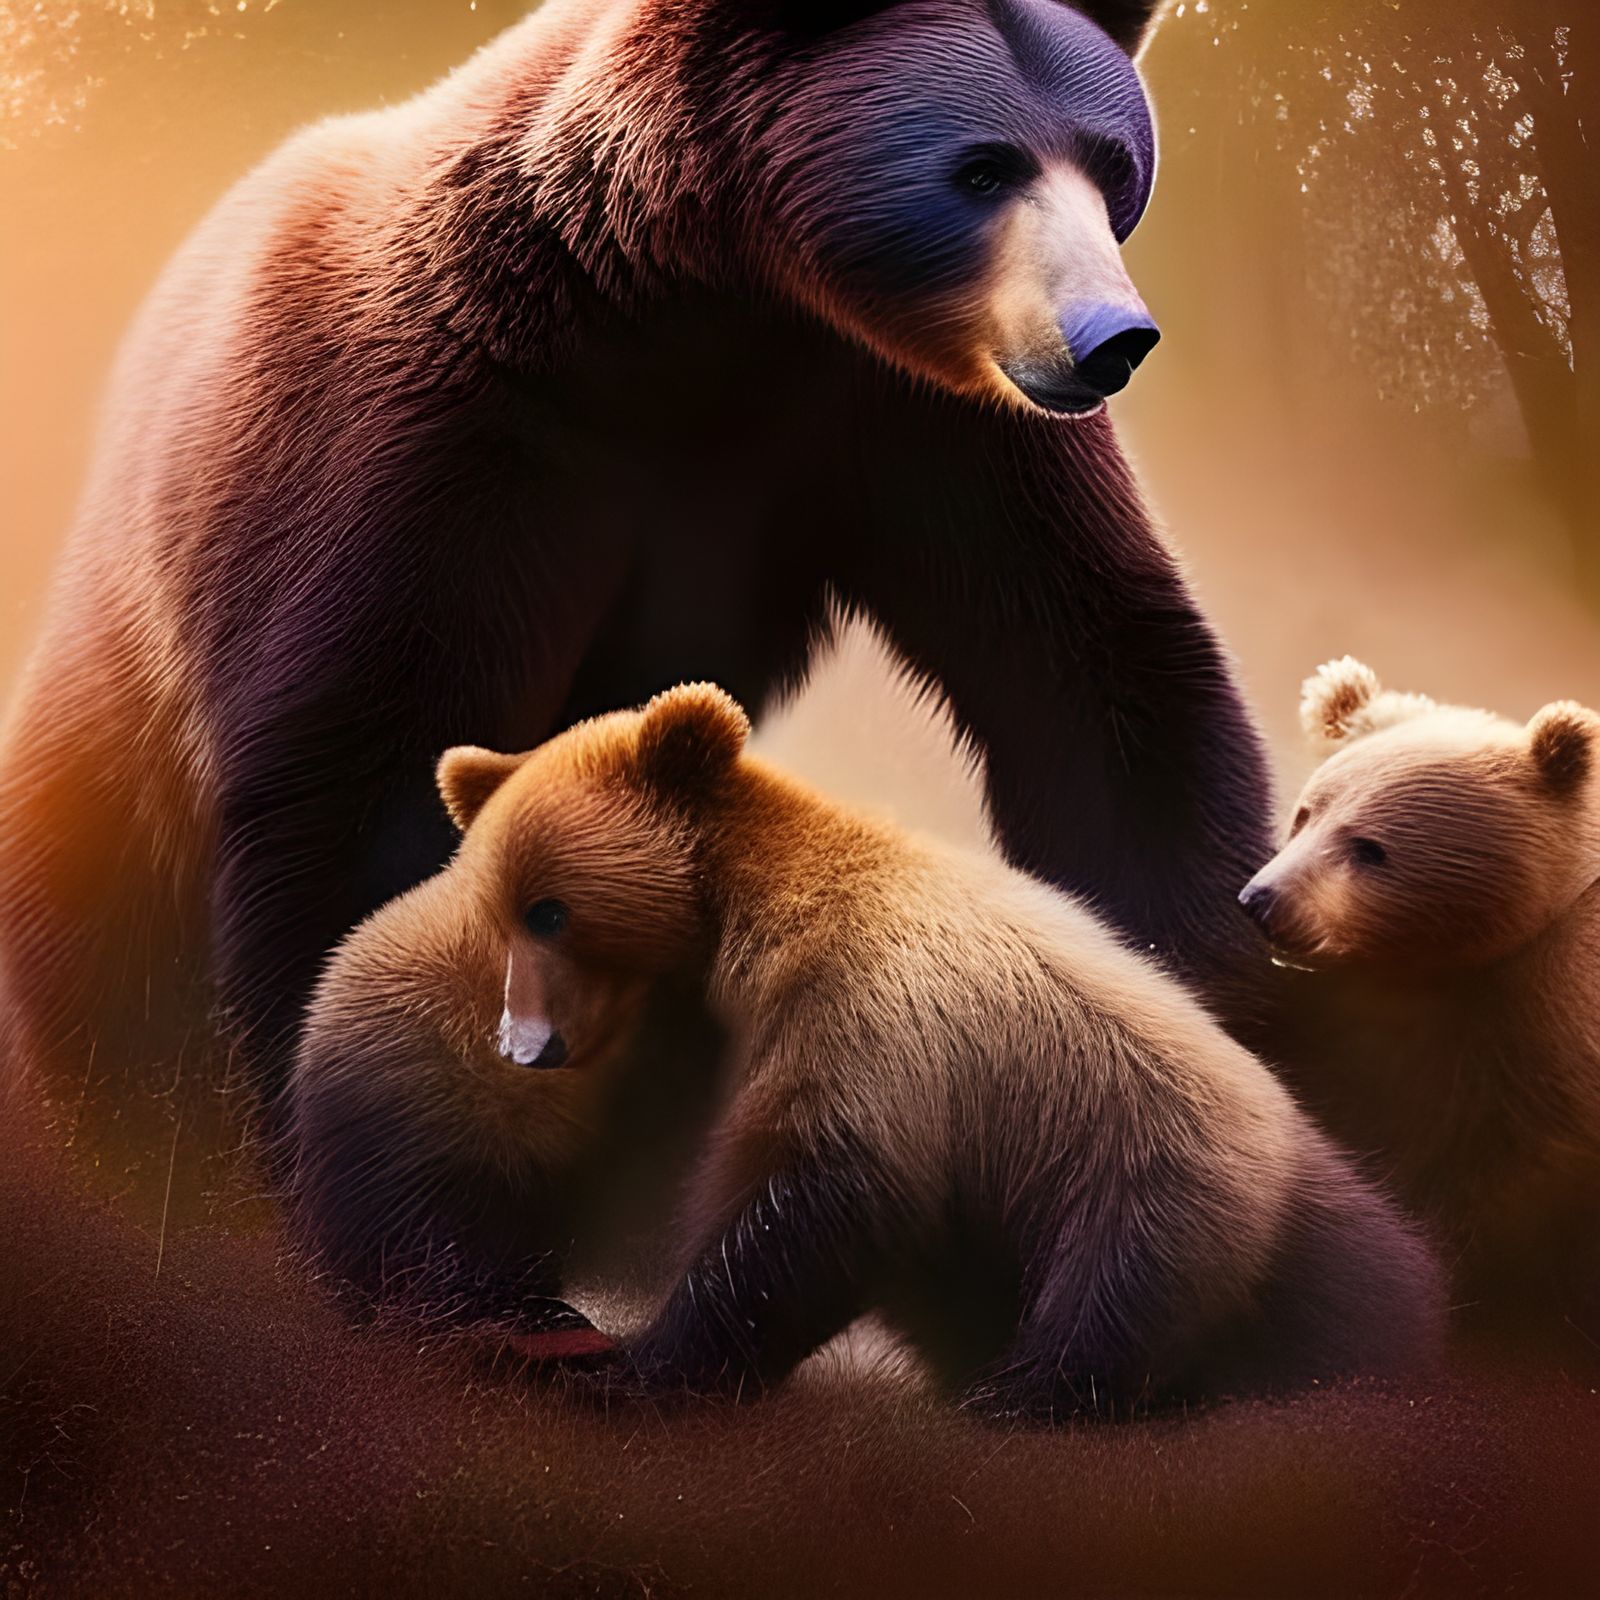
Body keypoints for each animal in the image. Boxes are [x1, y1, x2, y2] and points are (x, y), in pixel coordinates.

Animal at [0, 0, 1277, 1205]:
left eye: (1111, 163)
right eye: (981, 167)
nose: (1113, 339)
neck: (696, 312)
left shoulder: (913, 421)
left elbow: (1090, 659)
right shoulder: (440, 431)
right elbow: (368, 765)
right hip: (109, 761)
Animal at [289, 684, 1442, 1409]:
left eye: (554, 909)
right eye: (505, 909)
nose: (525, 1047)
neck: (735, 923)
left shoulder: (867, 1005)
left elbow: (818, 1193)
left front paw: (638, 1364)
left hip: (1158, 1168)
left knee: (1120, 1288)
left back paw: (1027, 1392)